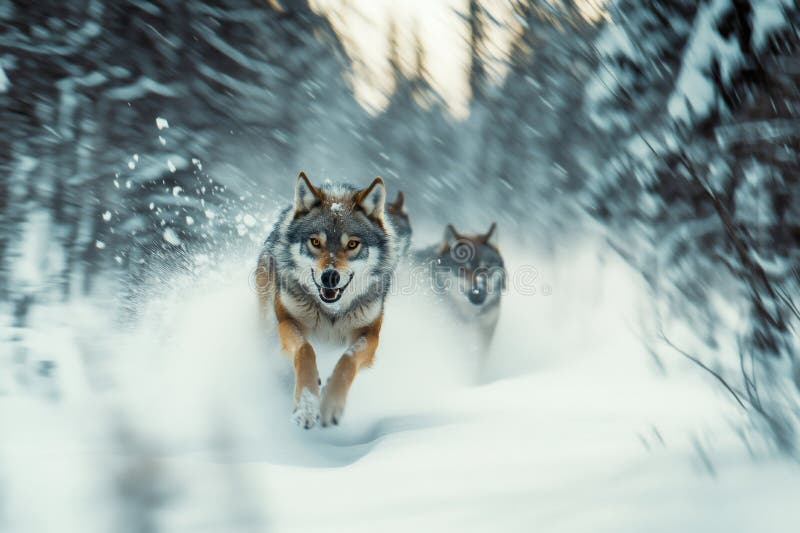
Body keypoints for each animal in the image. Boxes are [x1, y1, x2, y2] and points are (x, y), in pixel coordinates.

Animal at [255, 171, 402, 428]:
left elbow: (347, 360)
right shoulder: (287, 321)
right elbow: (305, 349)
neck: (330, 311)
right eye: (315, 242)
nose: (330, 276)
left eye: (352, 244)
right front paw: (306, 404)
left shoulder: (370, 333)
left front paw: (330, 403)